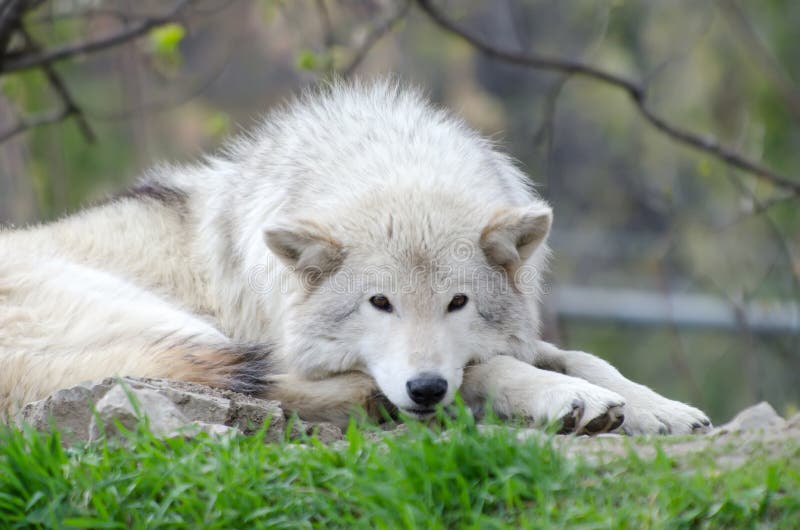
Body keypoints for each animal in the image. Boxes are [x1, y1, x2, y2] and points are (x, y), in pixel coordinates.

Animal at [0, 80, 710, 434]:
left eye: (458, 302)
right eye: (380, 303)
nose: (425, 388)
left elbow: (586, 357)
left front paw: (659, 409)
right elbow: (494, 369)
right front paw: (568, 400)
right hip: (173, 327)